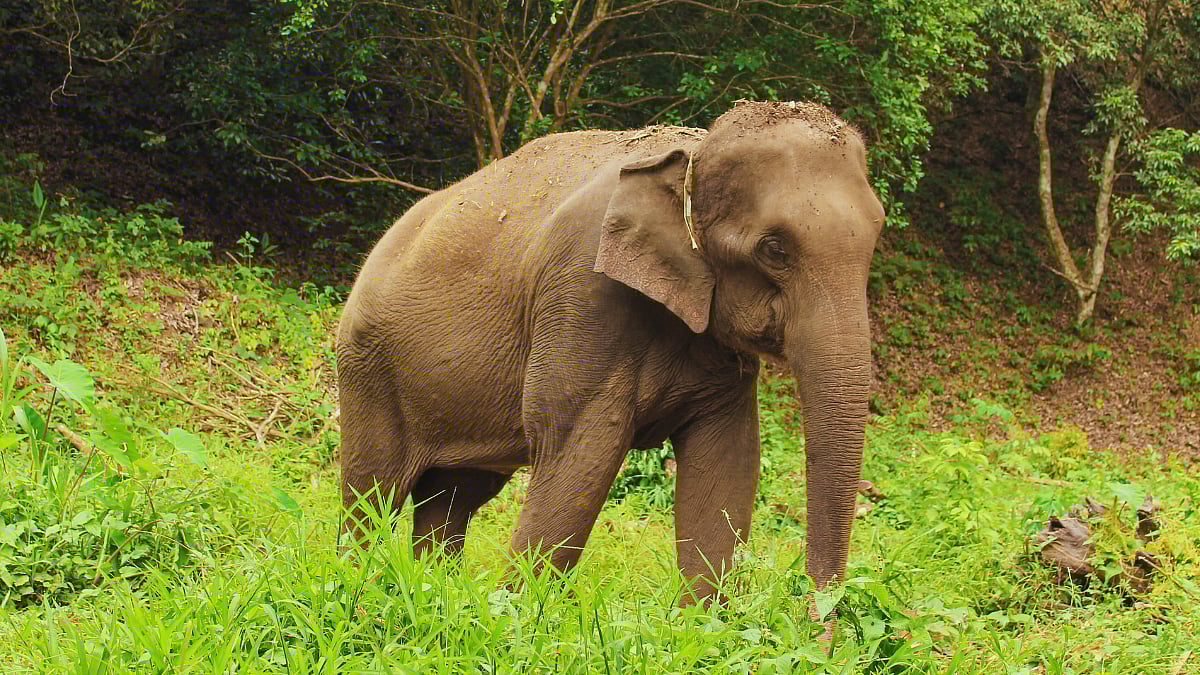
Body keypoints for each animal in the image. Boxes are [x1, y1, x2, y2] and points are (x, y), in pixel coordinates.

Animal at [337, 100, 884, 600]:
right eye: (774, 249)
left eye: (877, 233)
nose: (818, 617)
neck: (693, 150)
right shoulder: (583, 293)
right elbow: (580, 448)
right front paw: (514, 612)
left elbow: (728, 457)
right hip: (369, 370)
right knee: (371, 493)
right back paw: (357, 585)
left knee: (453, 497)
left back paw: (432, 590)